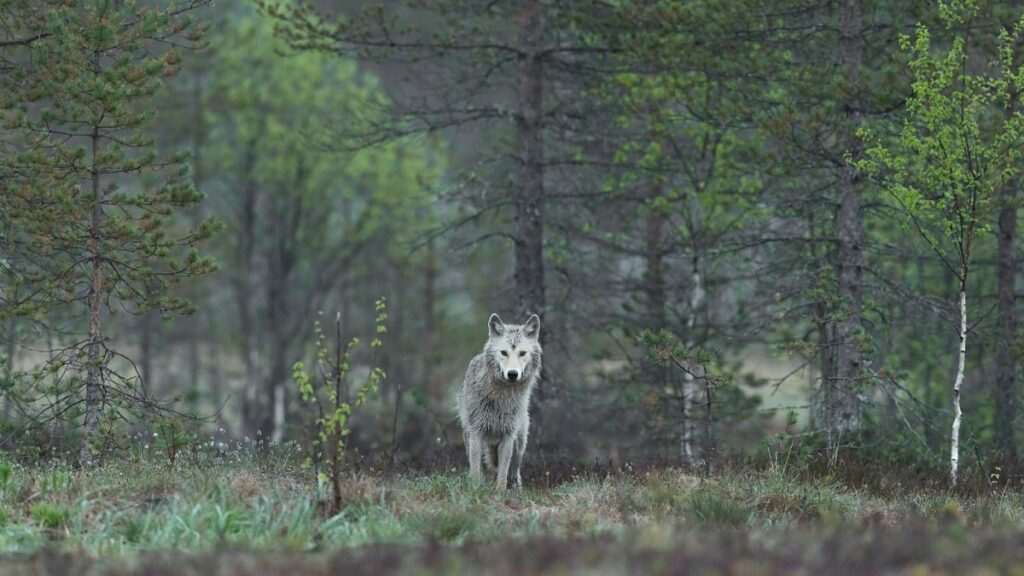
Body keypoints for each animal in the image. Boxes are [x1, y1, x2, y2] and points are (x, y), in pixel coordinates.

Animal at [457, 313, 542, 491]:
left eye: (522, 353)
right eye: (504, 352)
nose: (512, 374)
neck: (501, 398)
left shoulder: (508, 436)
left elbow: (503, 472)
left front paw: (500, 492)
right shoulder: (476, 433)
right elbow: (476, 470)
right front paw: (476, 490)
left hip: (520, 443)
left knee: (514, 469)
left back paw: (516, 489)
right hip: (470, 437)